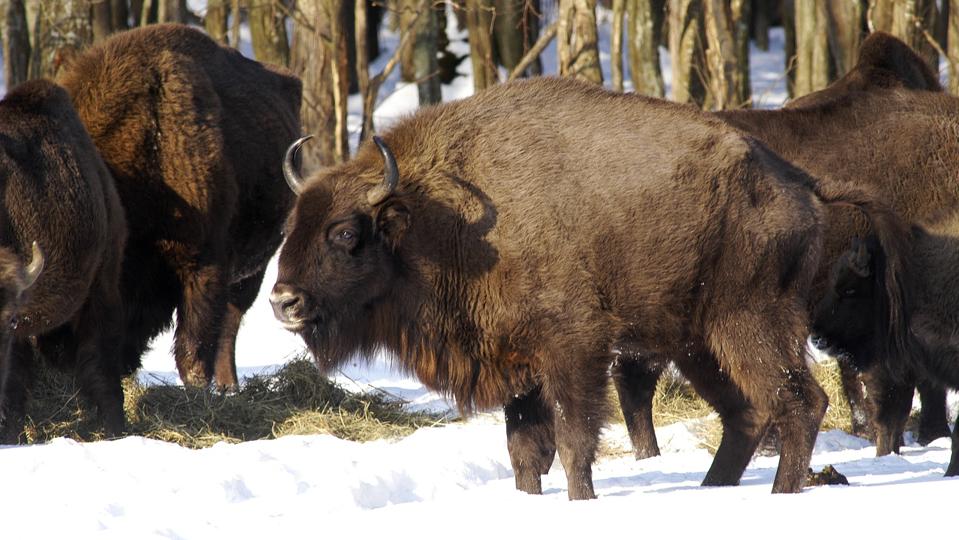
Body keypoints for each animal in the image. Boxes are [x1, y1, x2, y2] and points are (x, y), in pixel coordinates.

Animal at [271, 77, 912, 498]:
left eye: (345, 231)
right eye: (290, 224)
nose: (283, 301)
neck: (440, 217)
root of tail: (800, 184)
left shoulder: (573, 349)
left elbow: (574, 440)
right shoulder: (518, 365)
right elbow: (525, 451)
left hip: (749, 322)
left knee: (798, 401)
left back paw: (777, 496)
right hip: (697, 342)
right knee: (747, 413)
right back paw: (712, 491)